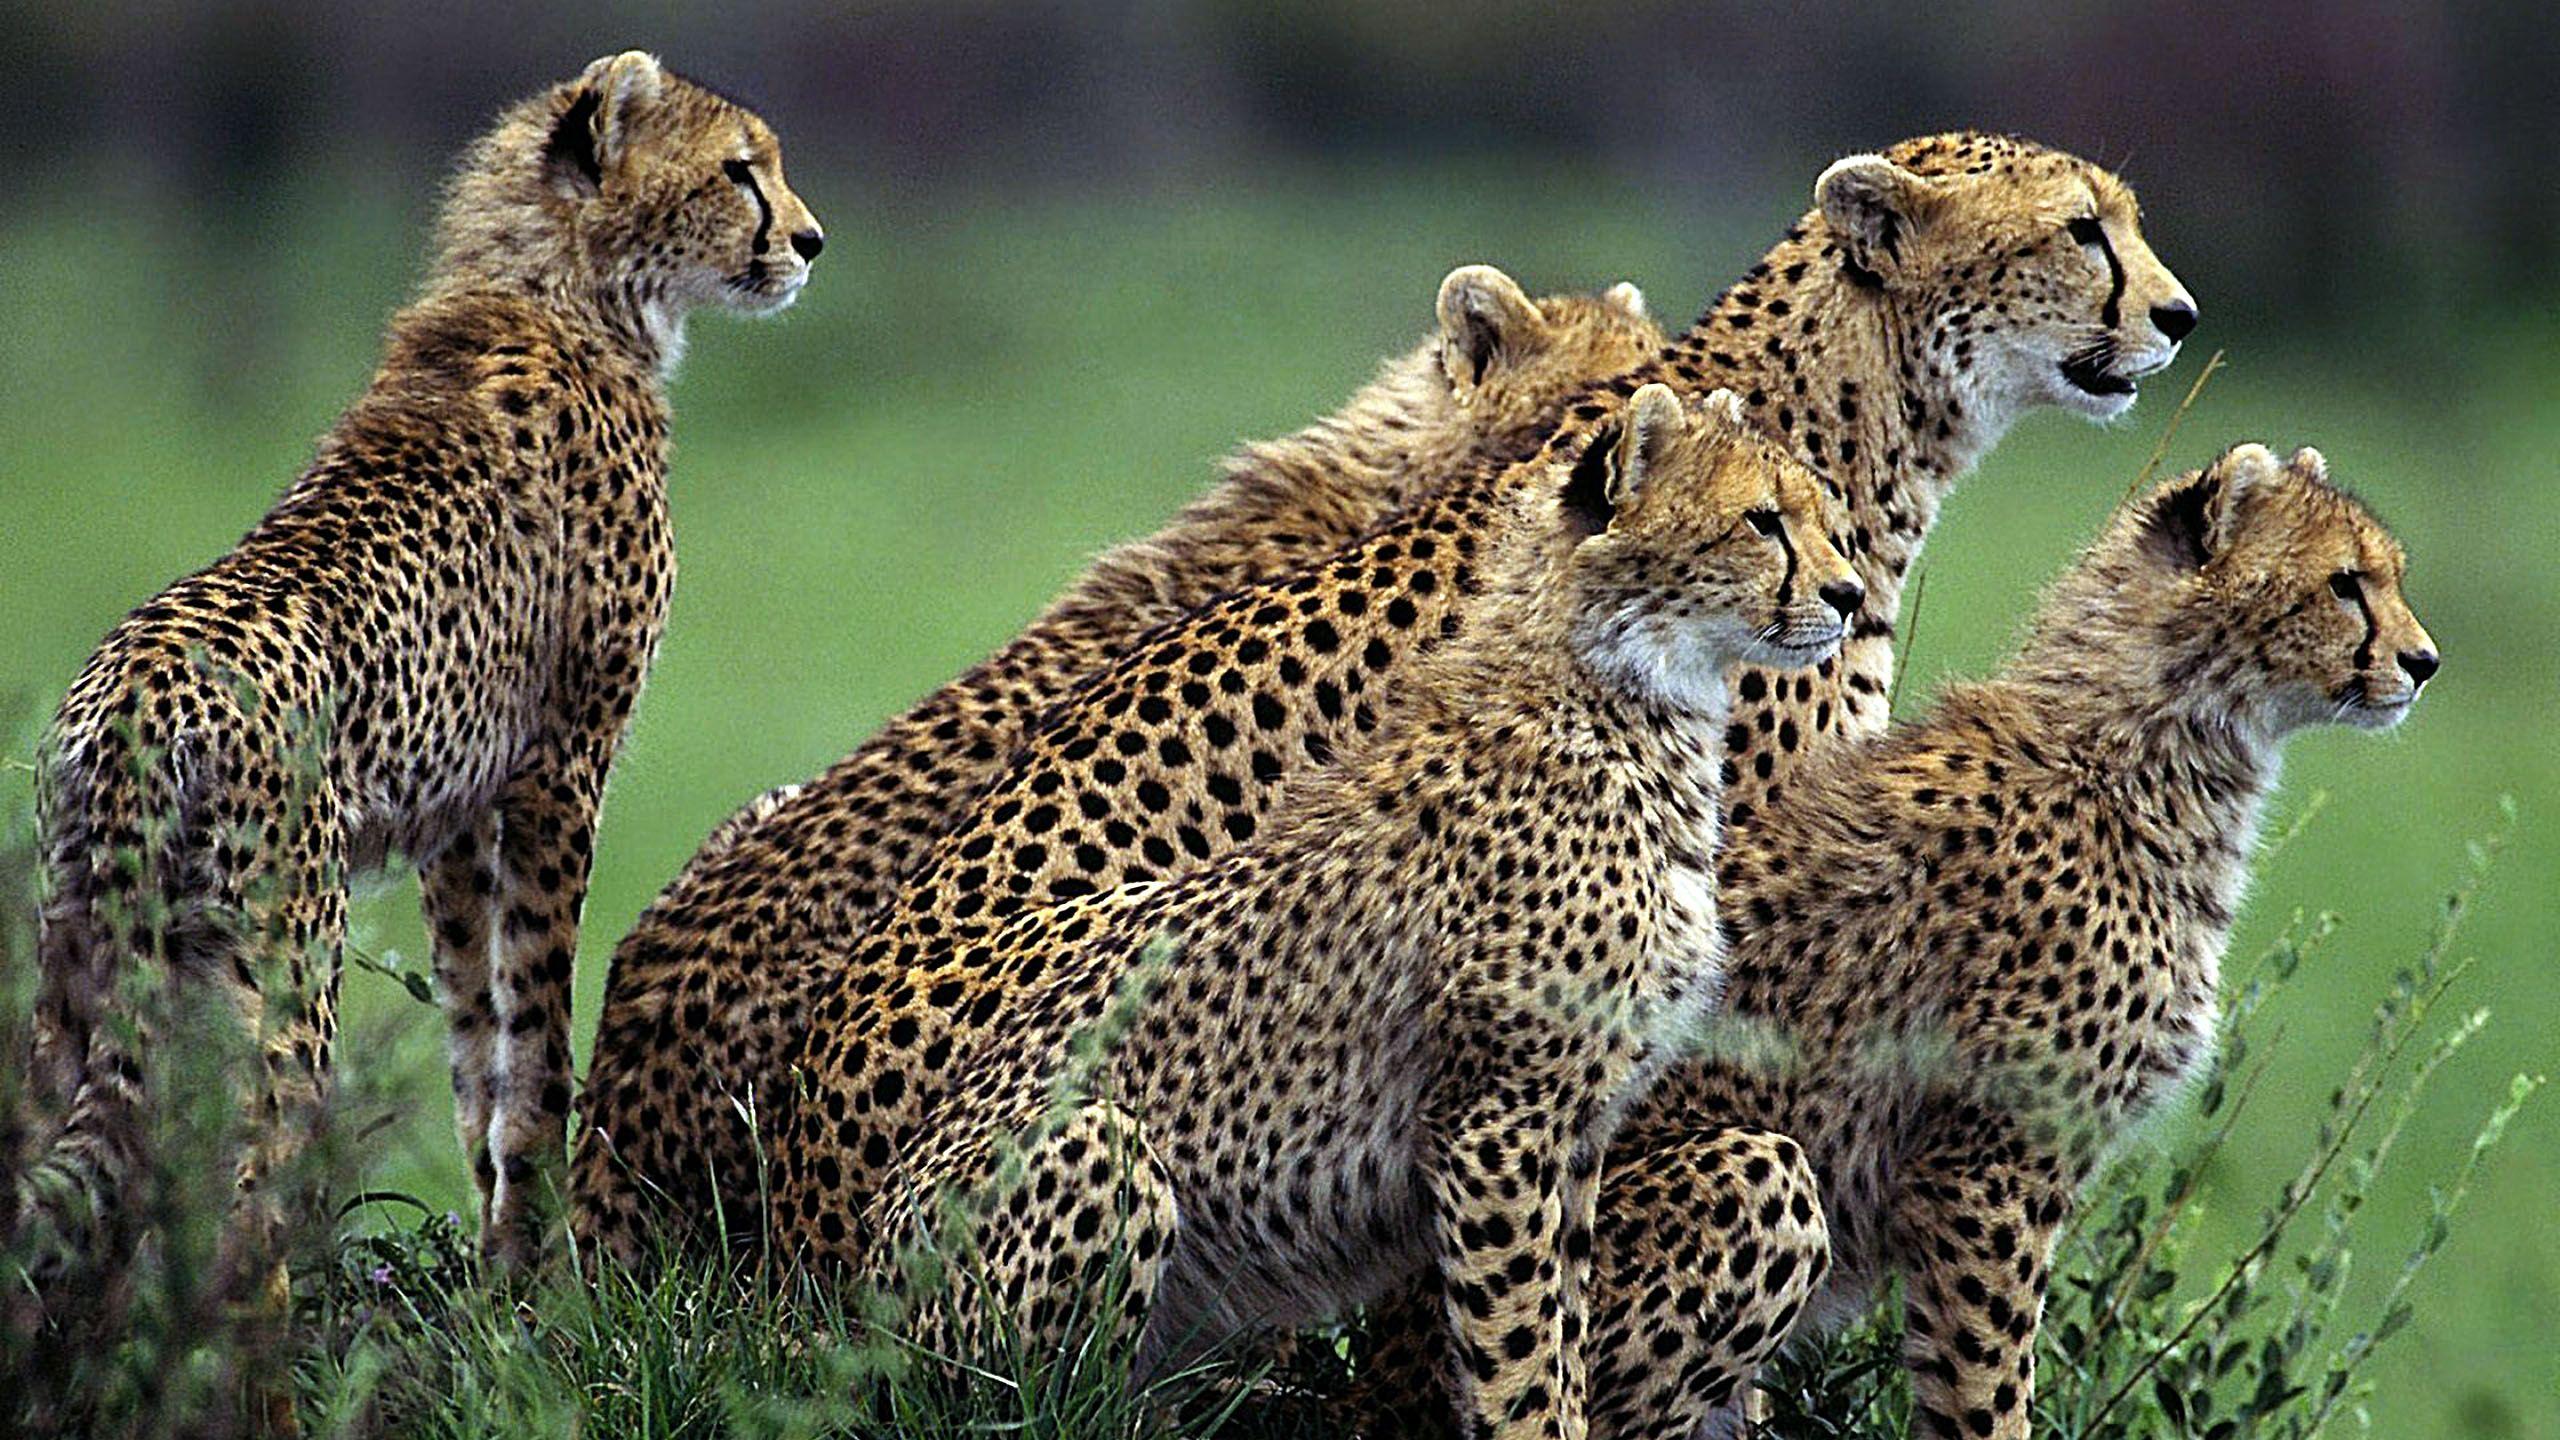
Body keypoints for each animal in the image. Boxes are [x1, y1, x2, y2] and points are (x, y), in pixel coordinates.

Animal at [15, 51, 823, 1297]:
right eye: (741, 170)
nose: (810, 239)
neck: (563, 292)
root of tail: (140, 686)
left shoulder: (457, 813)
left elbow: (474, 1046)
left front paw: (498, 1260)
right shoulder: (560, 769)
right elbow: (535, 1039)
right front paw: (540, 1277)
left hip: (86, 959)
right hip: (279, 958)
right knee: (247, 1189)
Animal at [776, 385, 1861, 1440]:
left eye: (1821, 514)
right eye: (1762, 521)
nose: (1847, 596)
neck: (1628, 700)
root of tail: (839, 1303)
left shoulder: (1577, 1135)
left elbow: (1560, 1331)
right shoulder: (1495, 1125)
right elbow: (1516, 1352)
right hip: (1095, 1155)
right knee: (1007, 1404)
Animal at [1374, 443, 2440, 1440]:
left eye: (2388, 574)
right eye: (2346, 582)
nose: (2424, 661)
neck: (2145, 750)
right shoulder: (1985, 1174)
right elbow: (1989, 1387)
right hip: (1749, 1182)